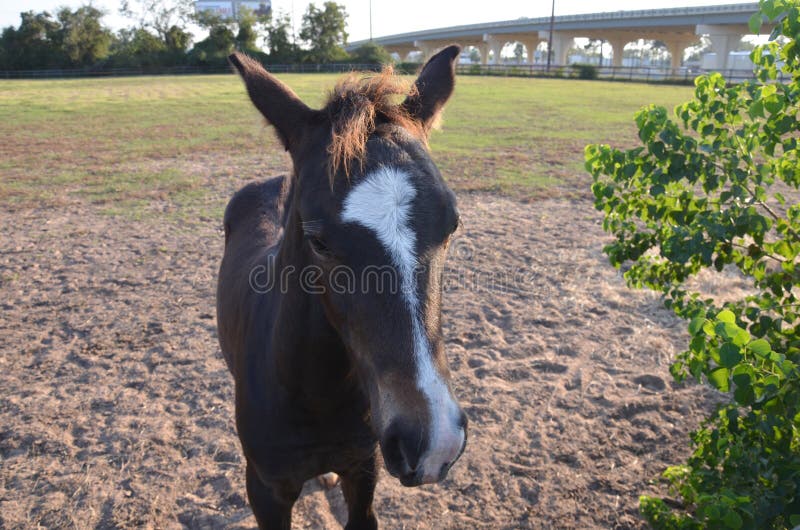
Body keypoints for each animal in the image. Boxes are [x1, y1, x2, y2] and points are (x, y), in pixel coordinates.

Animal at [217, 45, 467, 529]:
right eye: (318, 241)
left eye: (452, 224)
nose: (431, 442)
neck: (316, 397)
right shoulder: (265, 490)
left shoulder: (363, 467)